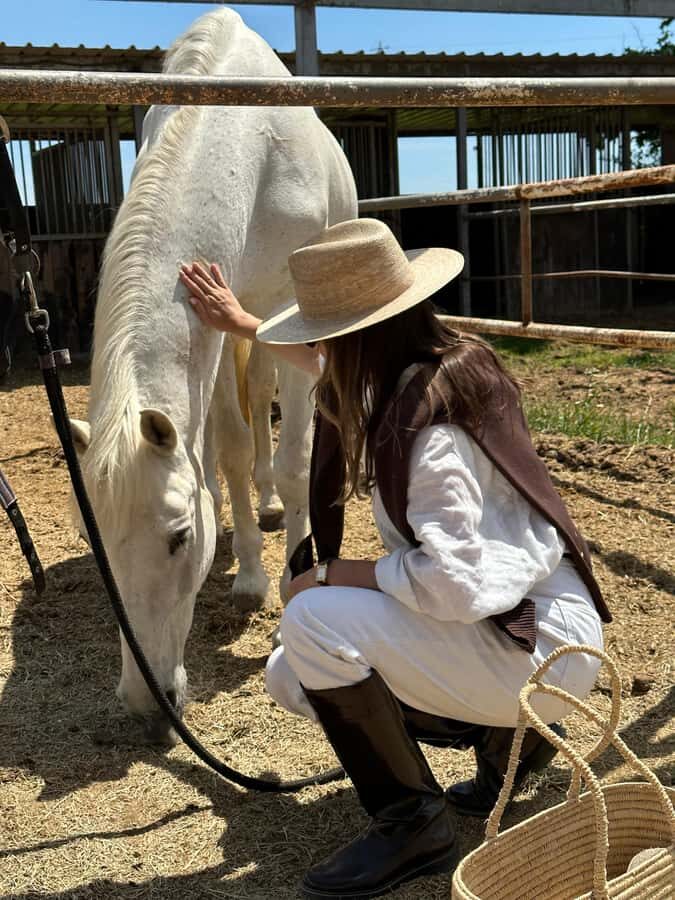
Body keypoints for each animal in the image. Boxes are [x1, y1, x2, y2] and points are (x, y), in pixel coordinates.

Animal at [67, 8, 357, 741]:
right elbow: (224, 446)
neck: (247, 148)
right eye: (93, 543)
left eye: (178, 539)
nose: (147, 703)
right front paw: (250, 573)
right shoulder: (218, 327)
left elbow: (295, 456)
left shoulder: (288, 313)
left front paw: (286, 590)